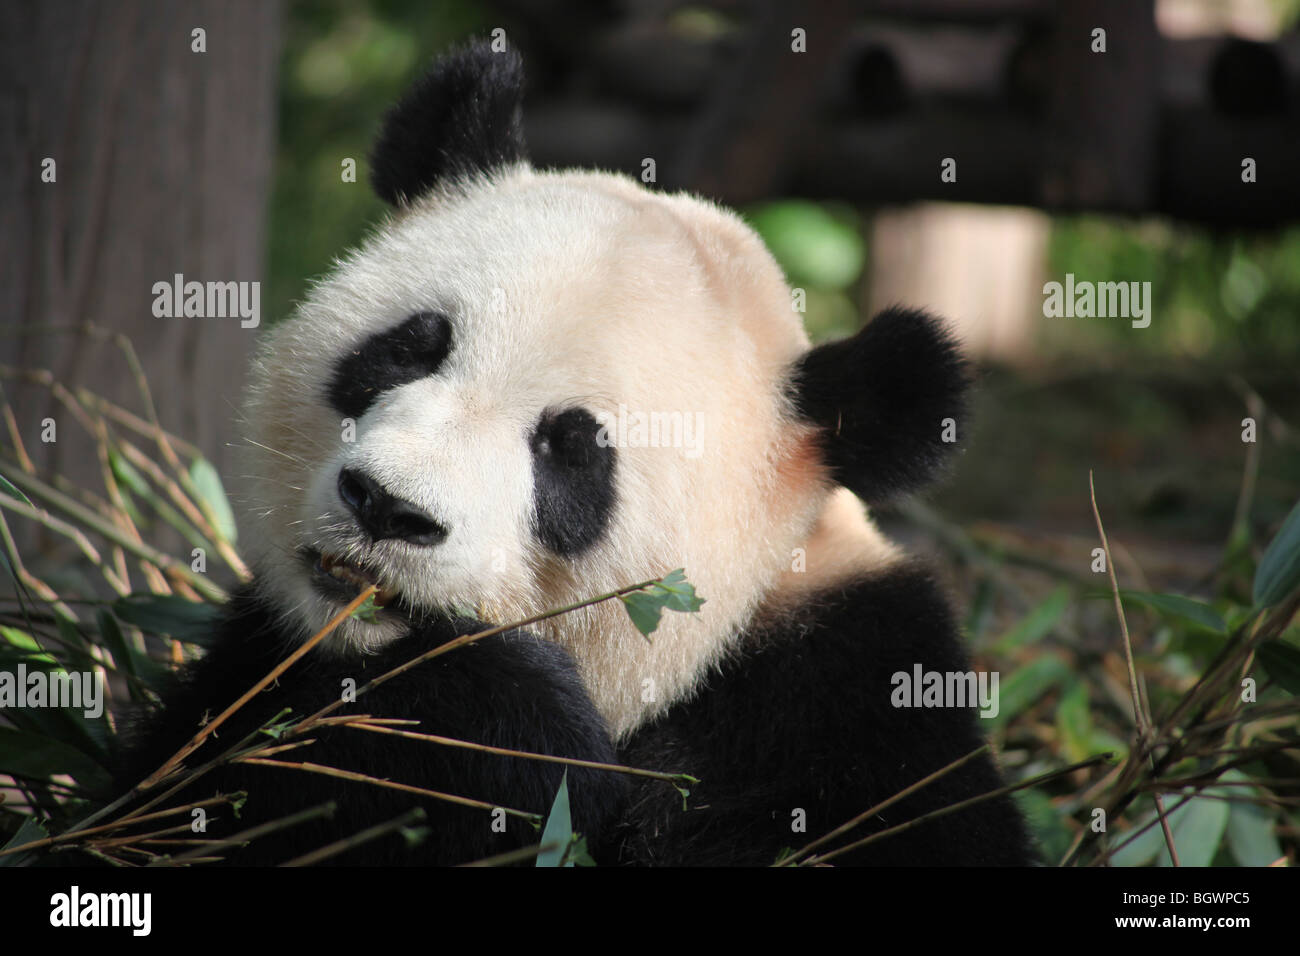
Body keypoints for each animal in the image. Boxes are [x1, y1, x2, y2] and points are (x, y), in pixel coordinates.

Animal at [115, 41, 1035, 867]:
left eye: (573, 452)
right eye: (407, 350)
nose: (388, 507)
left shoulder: (842, 702)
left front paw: (474, 708)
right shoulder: (254, 660)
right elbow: (175, 809)